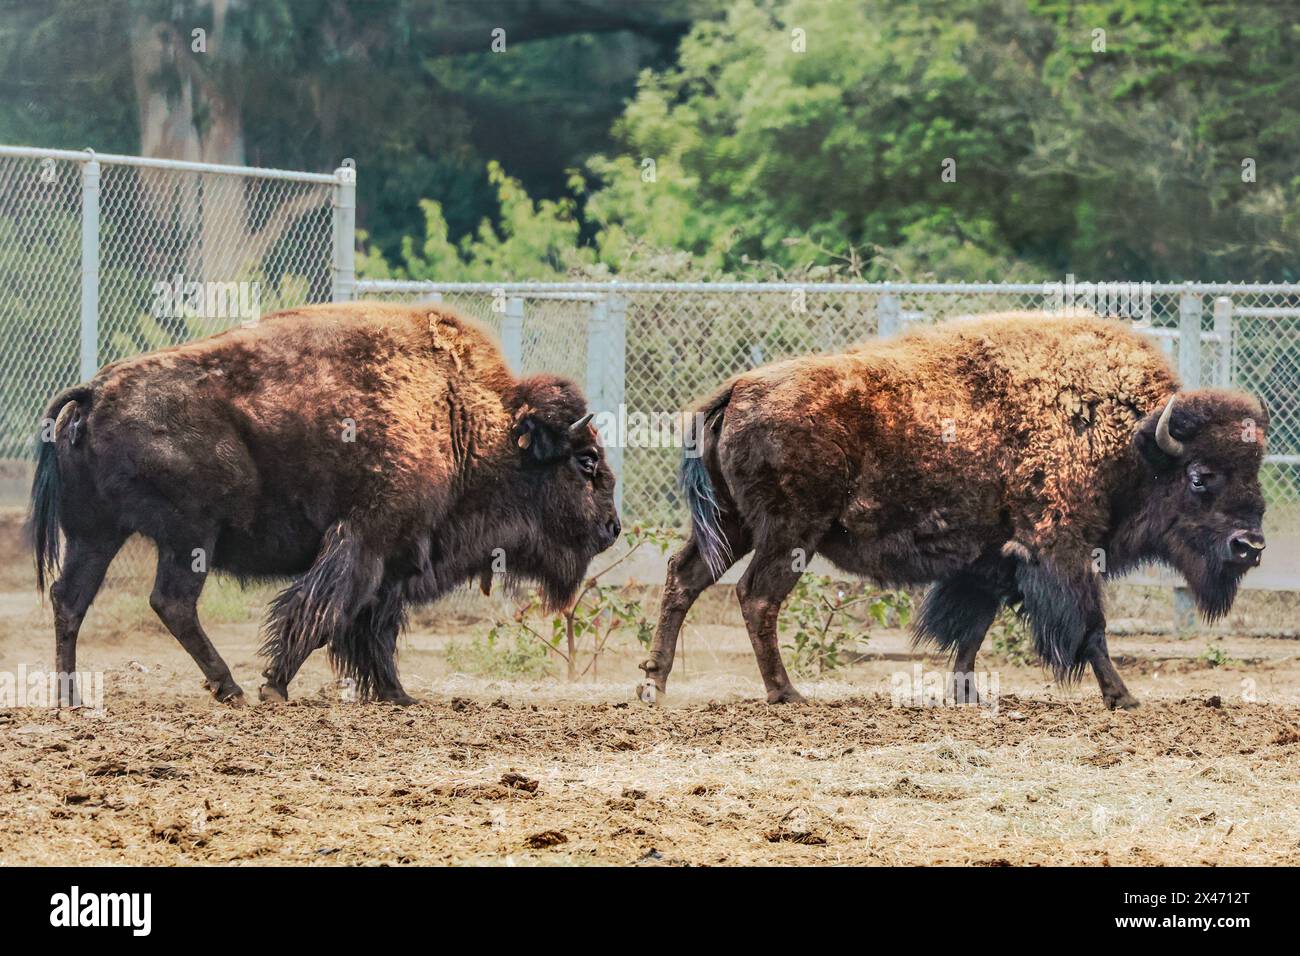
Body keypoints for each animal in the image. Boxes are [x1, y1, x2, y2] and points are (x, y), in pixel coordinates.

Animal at [29, 302, 620, 706]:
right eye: (587, 460)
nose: (612, 528)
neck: (462, 419)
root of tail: (93, 391)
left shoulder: (394, 562)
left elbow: (371, 629)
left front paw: (397, 695)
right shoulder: (365, 540)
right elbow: (324, 615)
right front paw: (275, 687)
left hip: (97, 534)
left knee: (71, 599)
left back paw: (72, 698)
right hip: (188, 535)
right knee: (170, 602)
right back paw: (231, 689)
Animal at [640, 313, 1267, 708]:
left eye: (1254, 470)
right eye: (1201, 477)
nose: (1251, 546)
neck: (1130, 438)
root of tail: (739, 389)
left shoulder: (992, 560)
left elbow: (971, 627)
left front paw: (964, 693)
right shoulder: (1062, 550)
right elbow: (1090, 628)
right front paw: (1124, 697)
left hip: (733, 526)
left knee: (684, 578)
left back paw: (655, 685)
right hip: (789, 534)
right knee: (756, 598)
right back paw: (785, 693)